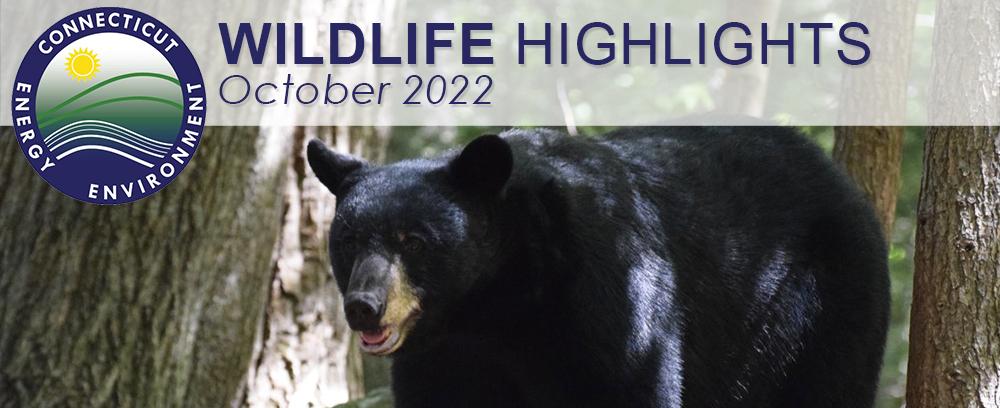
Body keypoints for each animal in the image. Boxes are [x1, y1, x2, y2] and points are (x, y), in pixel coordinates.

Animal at [307, 126, 889, 408]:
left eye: (414, 240)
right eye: (349, 240)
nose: (364, 307)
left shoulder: (611, 299)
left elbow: (635, 387)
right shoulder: (444, 354)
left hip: (820, 310)